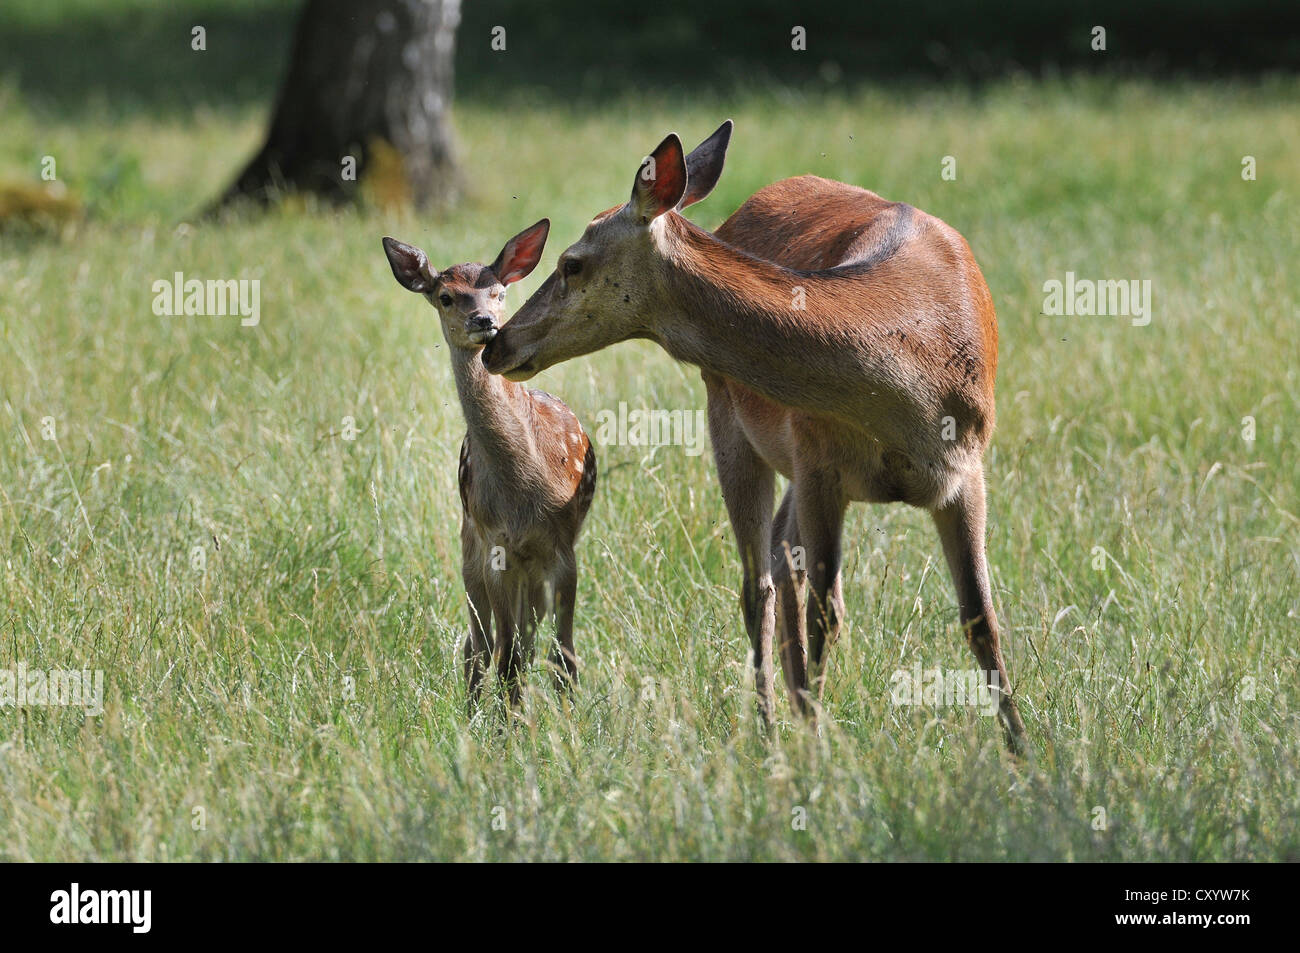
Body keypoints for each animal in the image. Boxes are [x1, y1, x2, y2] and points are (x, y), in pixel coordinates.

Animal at [382, 222, 597, 714]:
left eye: (499, 292)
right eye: (445, 296)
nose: (484, 321)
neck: (526, 488)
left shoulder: (562, 546)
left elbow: (564, 653)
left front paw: (571, 718)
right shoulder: (495, 543)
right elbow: (508, 653)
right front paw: (507, 724)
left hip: (529, 568)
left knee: (521, 640)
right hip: (471, 548)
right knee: (479, 644)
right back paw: (476, 710)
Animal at [481, 125, 1028, 754]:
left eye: (571, 263)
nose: (496, 344)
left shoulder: (965, 470)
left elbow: (979, 617)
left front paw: (1023, 749)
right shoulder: (818, 462)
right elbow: (826, 610)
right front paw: (818, 745)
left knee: (779, 559)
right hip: (729, 416)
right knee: (759, 584)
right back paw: (772, 725)